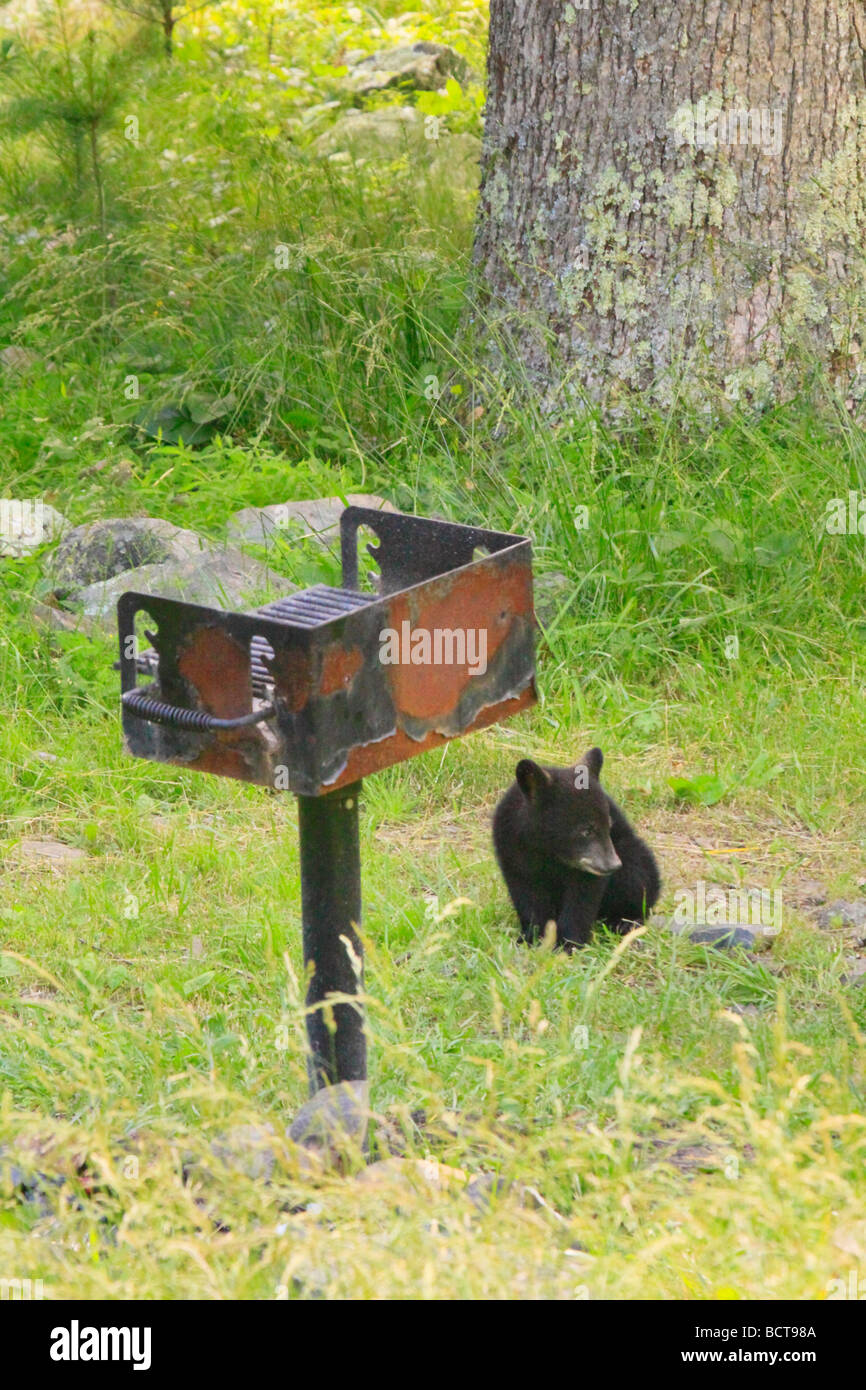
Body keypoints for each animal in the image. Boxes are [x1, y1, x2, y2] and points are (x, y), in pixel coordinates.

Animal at [492, 747, 660, 950]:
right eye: (586, 830)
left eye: (609, 825)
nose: (613, 865)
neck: (548, 850)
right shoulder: (511, 850)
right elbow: (526, 896)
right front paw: (531, 938)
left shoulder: (588, 867)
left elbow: (582, 899)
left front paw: (568, 944)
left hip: (630, 854)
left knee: (638, 876)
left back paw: (624, 922)